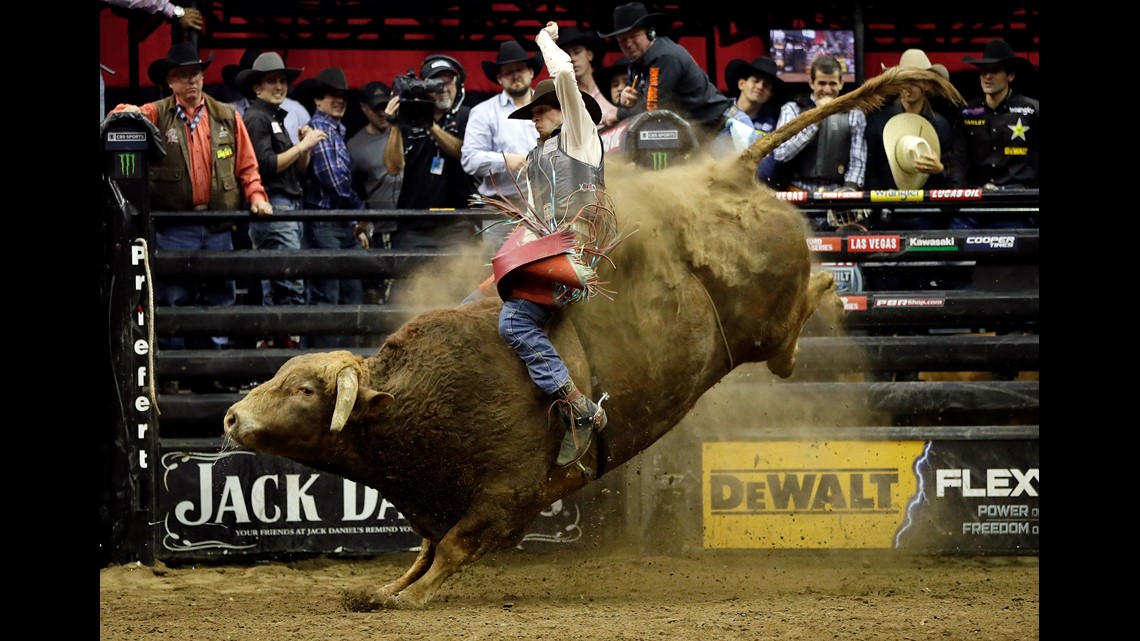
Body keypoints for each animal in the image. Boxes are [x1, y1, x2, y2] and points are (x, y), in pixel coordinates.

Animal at [223, 66, 962, 609]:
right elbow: (425, 551)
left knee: (795, 321)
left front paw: (410, 598)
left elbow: (455, 549)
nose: (231, 416)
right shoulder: (437, 502)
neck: (407, 404)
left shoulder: (506, 498)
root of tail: (729, 172)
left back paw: (830, 289)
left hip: (765, 324)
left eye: (308, 389)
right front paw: (384, 589)